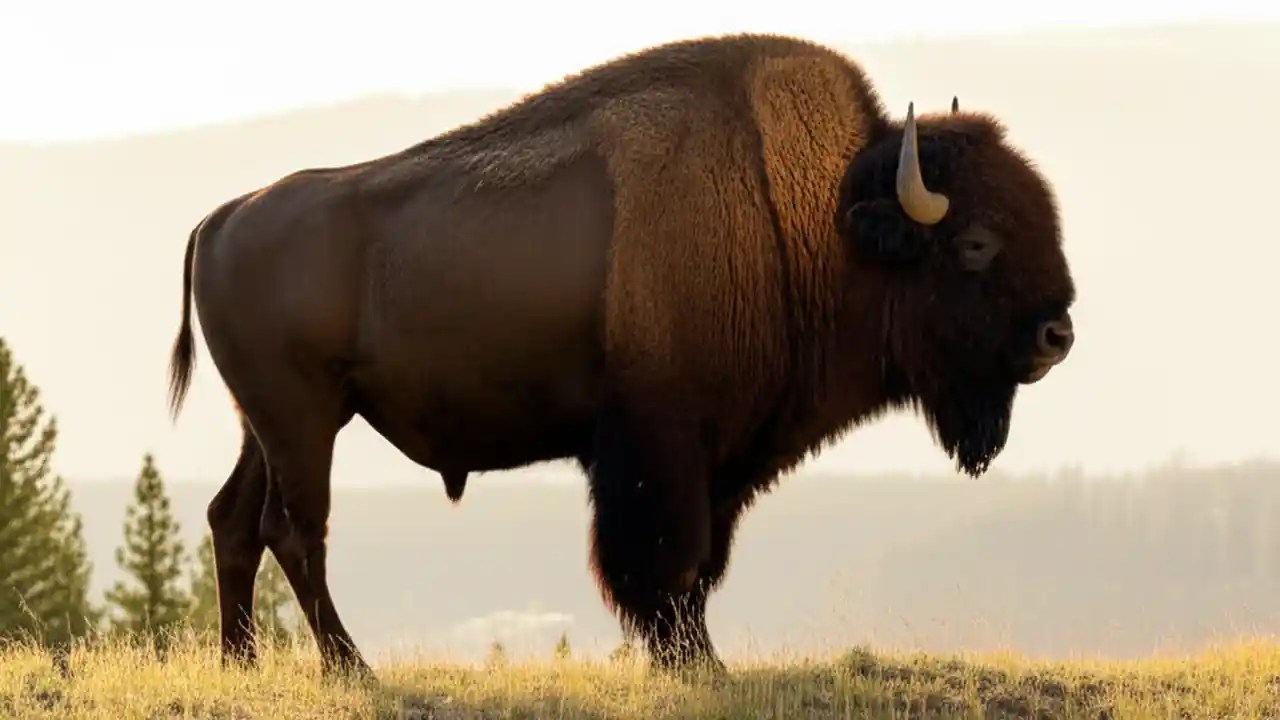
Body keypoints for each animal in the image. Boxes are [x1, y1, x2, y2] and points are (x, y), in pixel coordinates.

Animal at [166, 33, 1076, 677]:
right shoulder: (658, 446)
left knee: (234, 519)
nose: (1057, 335)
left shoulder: (724, 459)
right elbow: (663, 560)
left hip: (267, 425)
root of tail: (218, 218)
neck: (806, 223)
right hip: (304, 422)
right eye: (977, 242)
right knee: (296, 528)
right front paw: (691, 663)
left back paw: (242, 665)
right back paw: (353, 669)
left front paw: (698, 657)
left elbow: (702, 565)